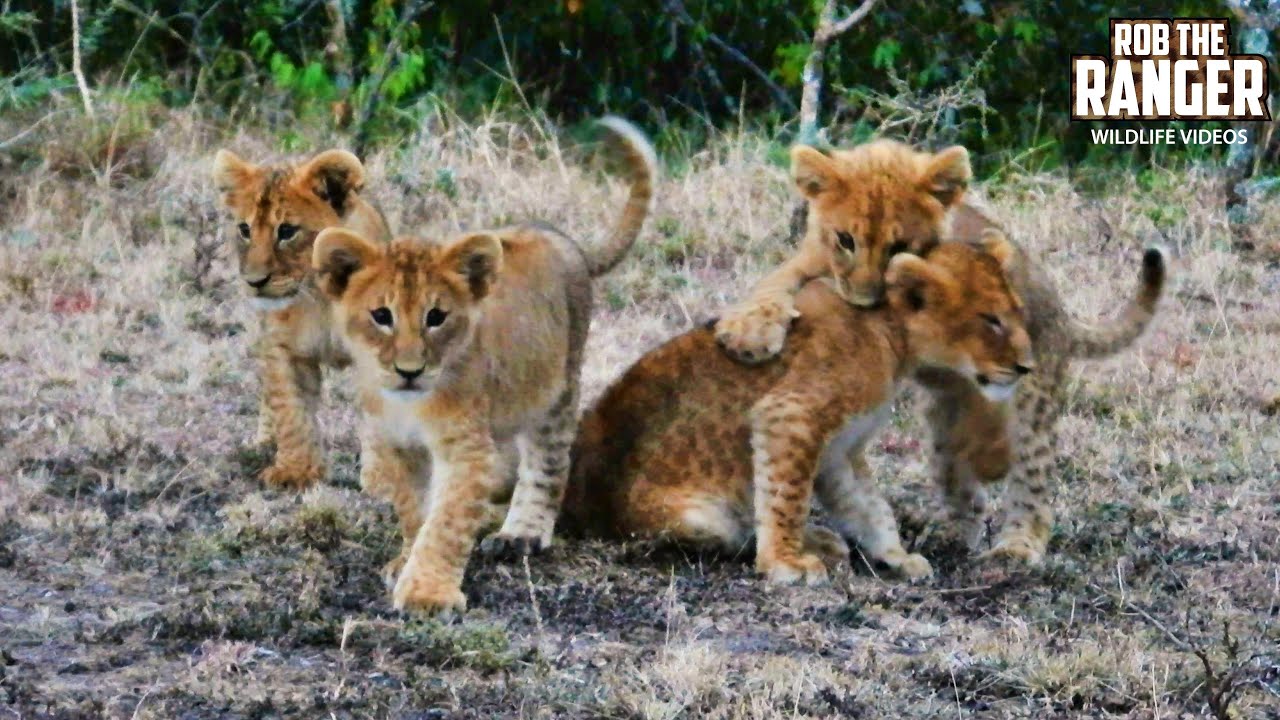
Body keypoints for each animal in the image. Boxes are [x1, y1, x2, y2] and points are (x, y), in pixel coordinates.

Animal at [212, 148, 393, 490]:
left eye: (286, 231)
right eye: (244, 230)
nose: (254, 281)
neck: (320, 296)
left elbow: (379, 421)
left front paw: (382, 479)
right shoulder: (282, 350)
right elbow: (291, 412)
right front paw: (295, 471)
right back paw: (264, 443)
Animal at [311, 116, 656, 615]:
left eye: (437, 317)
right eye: (381, 316)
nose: (409, 370)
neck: (407, 403)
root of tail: (561, 238)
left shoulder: (465, 449)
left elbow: (446, 521)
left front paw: (427, 594)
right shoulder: (399, 445)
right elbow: (416, 511)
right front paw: (405, 562)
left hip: (556, 391)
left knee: (548, 462)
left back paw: (522, 534)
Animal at [564, 237, 1033, 585]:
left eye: (1017, 313)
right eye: (991, 320)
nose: (1026, 367)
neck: (893, 340)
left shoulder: (841, 449)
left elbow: (869, 505)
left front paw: (896, 556)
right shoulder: (790, 415)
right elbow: (786, 496)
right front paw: (785, 565)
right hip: (695, 516)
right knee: (729, 532)